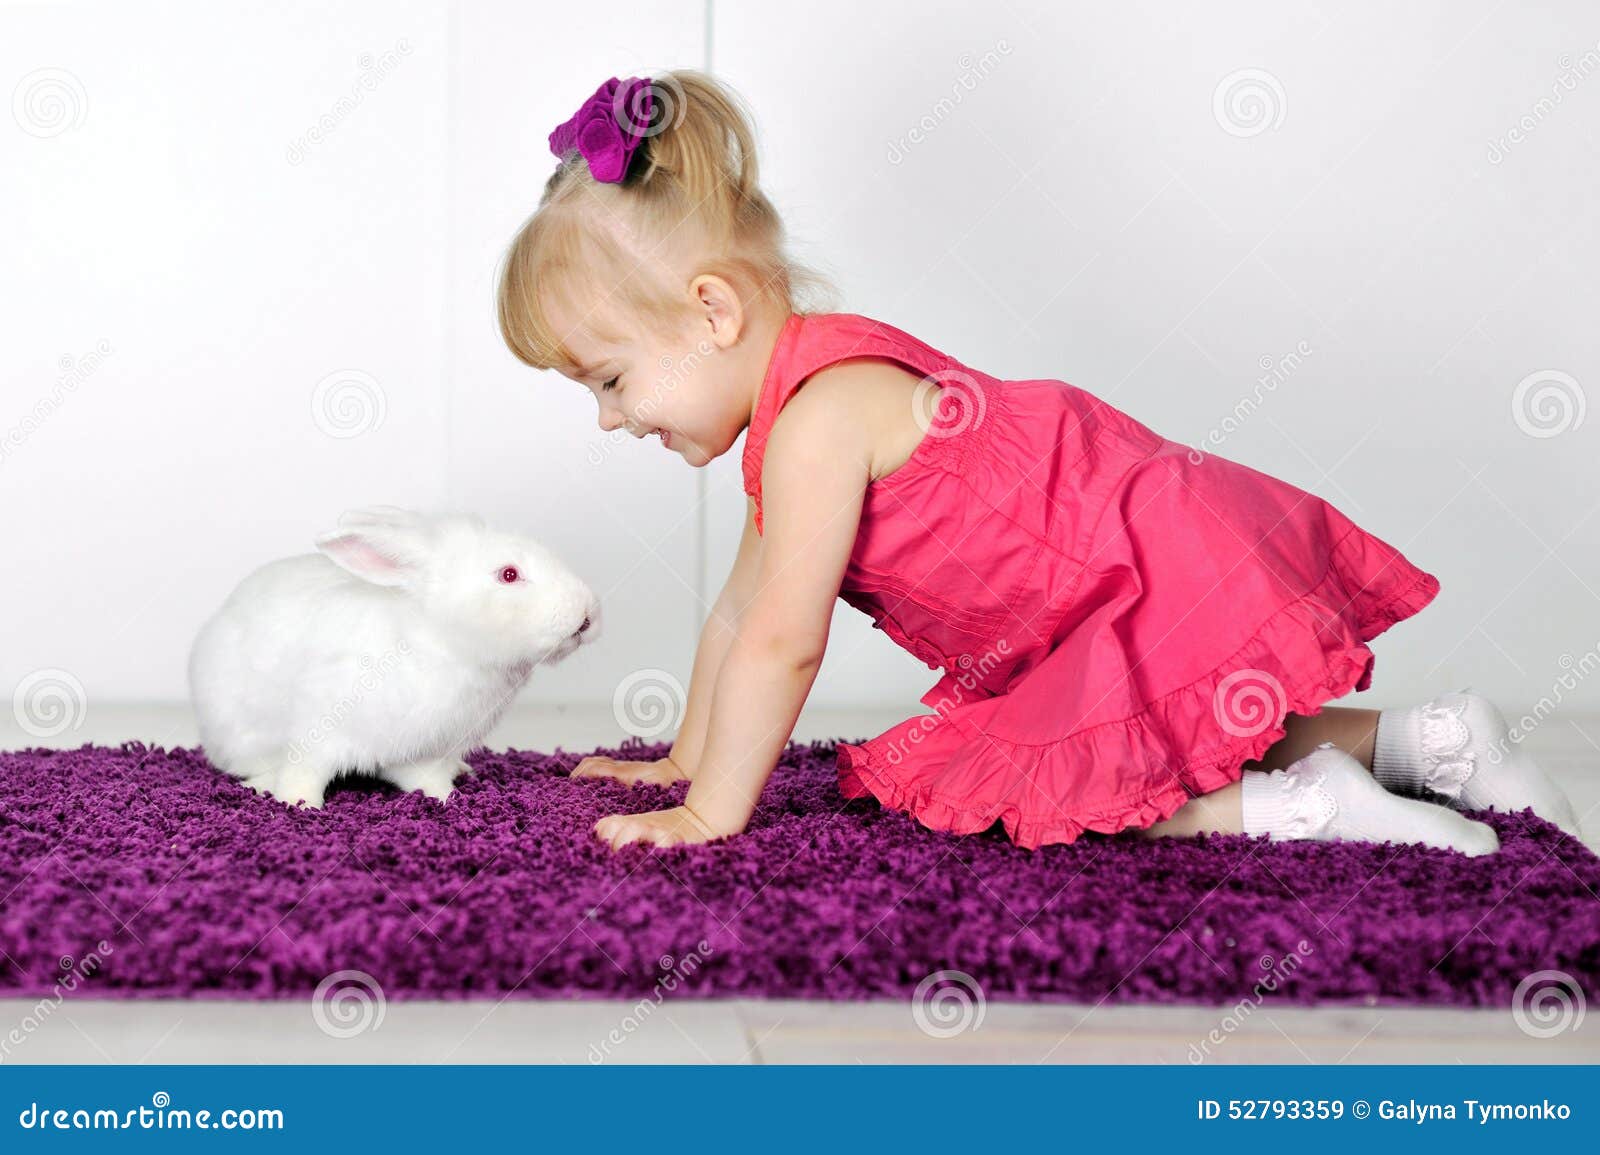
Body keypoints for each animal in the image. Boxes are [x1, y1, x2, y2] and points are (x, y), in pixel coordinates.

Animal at [188, 505, 600, 808]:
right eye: (509, 575)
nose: (587, 615)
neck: (443, 642)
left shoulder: (421, 750)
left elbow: (425, 778)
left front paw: (447, 796)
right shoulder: (319, 728)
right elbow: (305, 770)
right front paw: (299, 803)